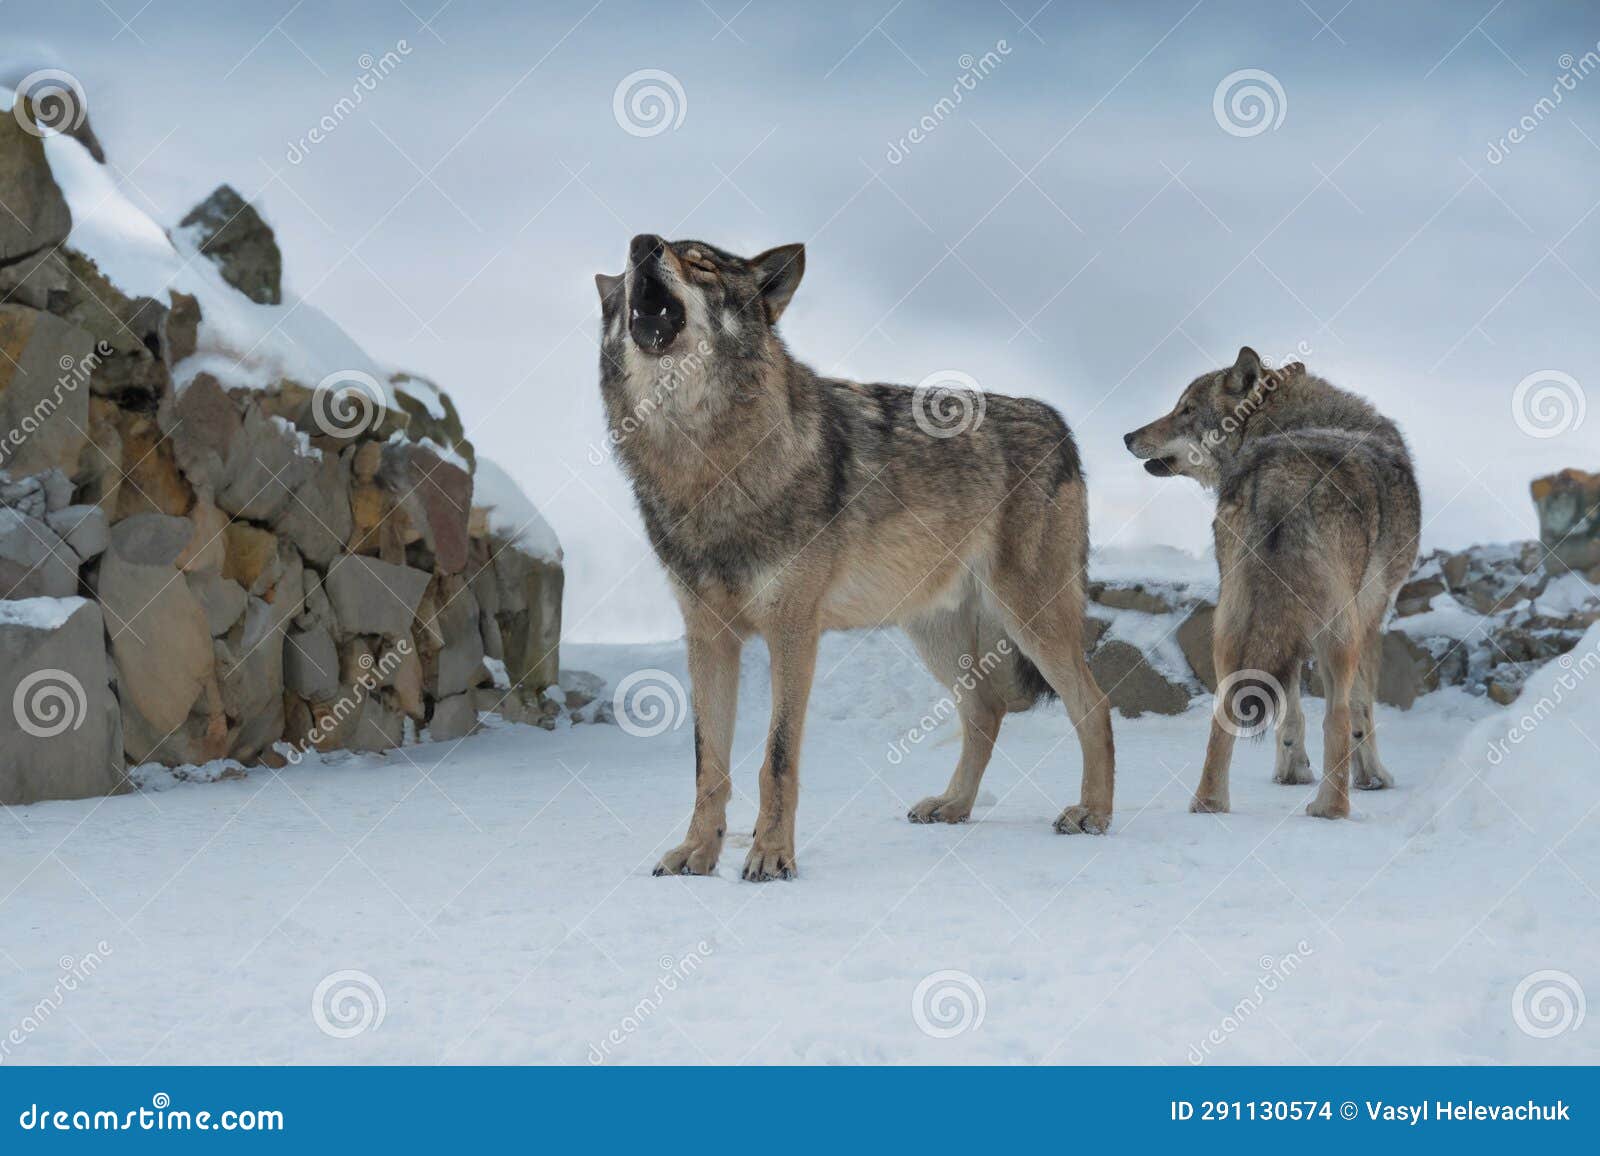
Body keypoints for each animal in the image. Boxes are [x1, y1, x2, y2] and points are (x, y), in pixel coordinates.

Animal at [595, 234, 1116, 880]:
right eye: (627, 270)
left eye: (701, 265)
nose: (642, 243)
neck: (702, 460)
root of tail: (1059, 423)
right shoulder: (708, 636)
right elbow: (707, 765)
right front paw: (698, 852)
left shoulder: (793, 631)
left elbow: (776, 759)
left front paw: (772, 857)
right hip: (936, 633)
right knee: (985, 712)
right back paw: (954, 805)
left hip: (1031, 621)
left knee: (1093, 705)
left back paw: (1093, 813)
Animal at [1123, 347, 1419, 820]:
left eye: (1186, 410)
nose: (1128, 436)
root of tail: (1284, 477)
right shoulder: (1372, 617)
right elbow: (1362, 711)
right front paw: (1373, 777)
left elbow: (1290, 711)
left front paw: (1291, 771)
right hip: (1339, 631)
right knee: (1337, 716)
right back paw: (1331, 808)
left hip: (1229, 625)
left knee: (1223, 712)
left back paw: (1209, 803)